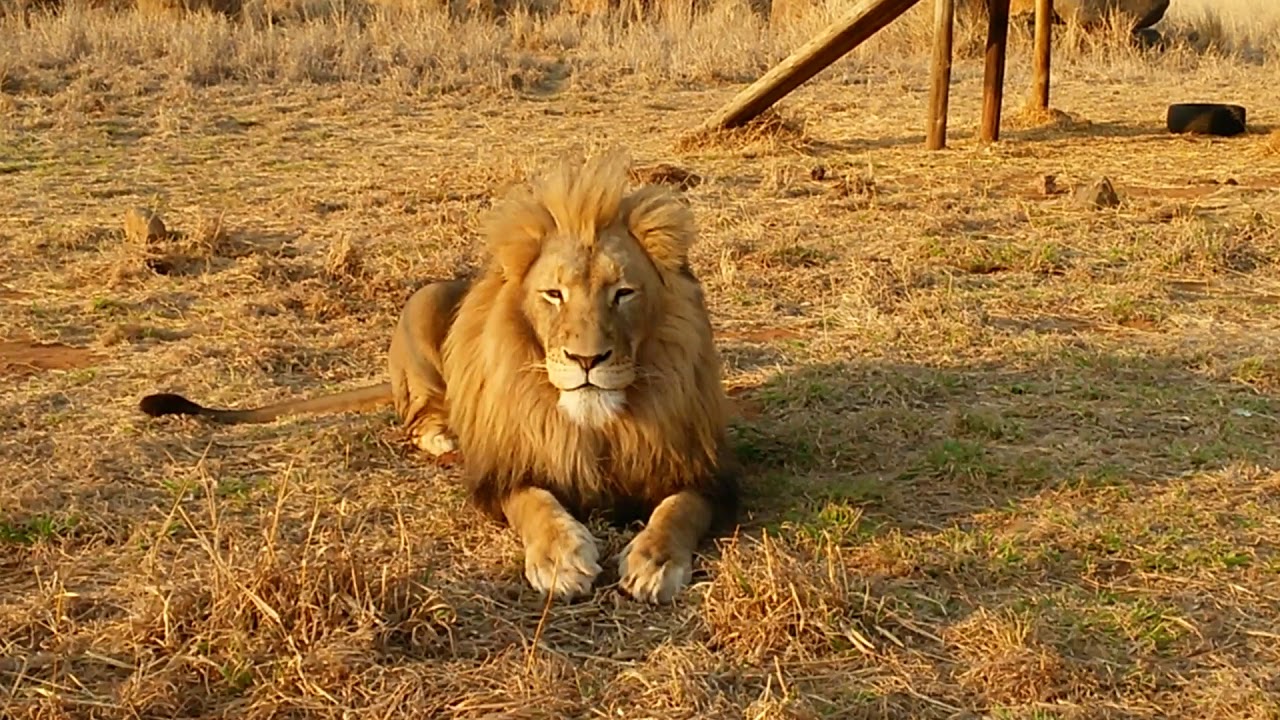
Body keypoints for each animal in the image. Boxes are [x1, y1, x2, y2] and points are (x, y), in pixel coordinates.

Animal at [139, 148, 741, 604]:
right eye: (554, 294)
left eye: (623, 293)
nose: (586, 360)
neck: (596, 426)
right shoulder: (503, 473)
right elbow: (535, 505)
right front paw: (561, 559)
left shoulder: (702, 470)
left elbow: (678, 510)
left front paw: (654, 564)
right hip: (424, 310)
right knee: (416, 418)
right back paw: (445, 436)